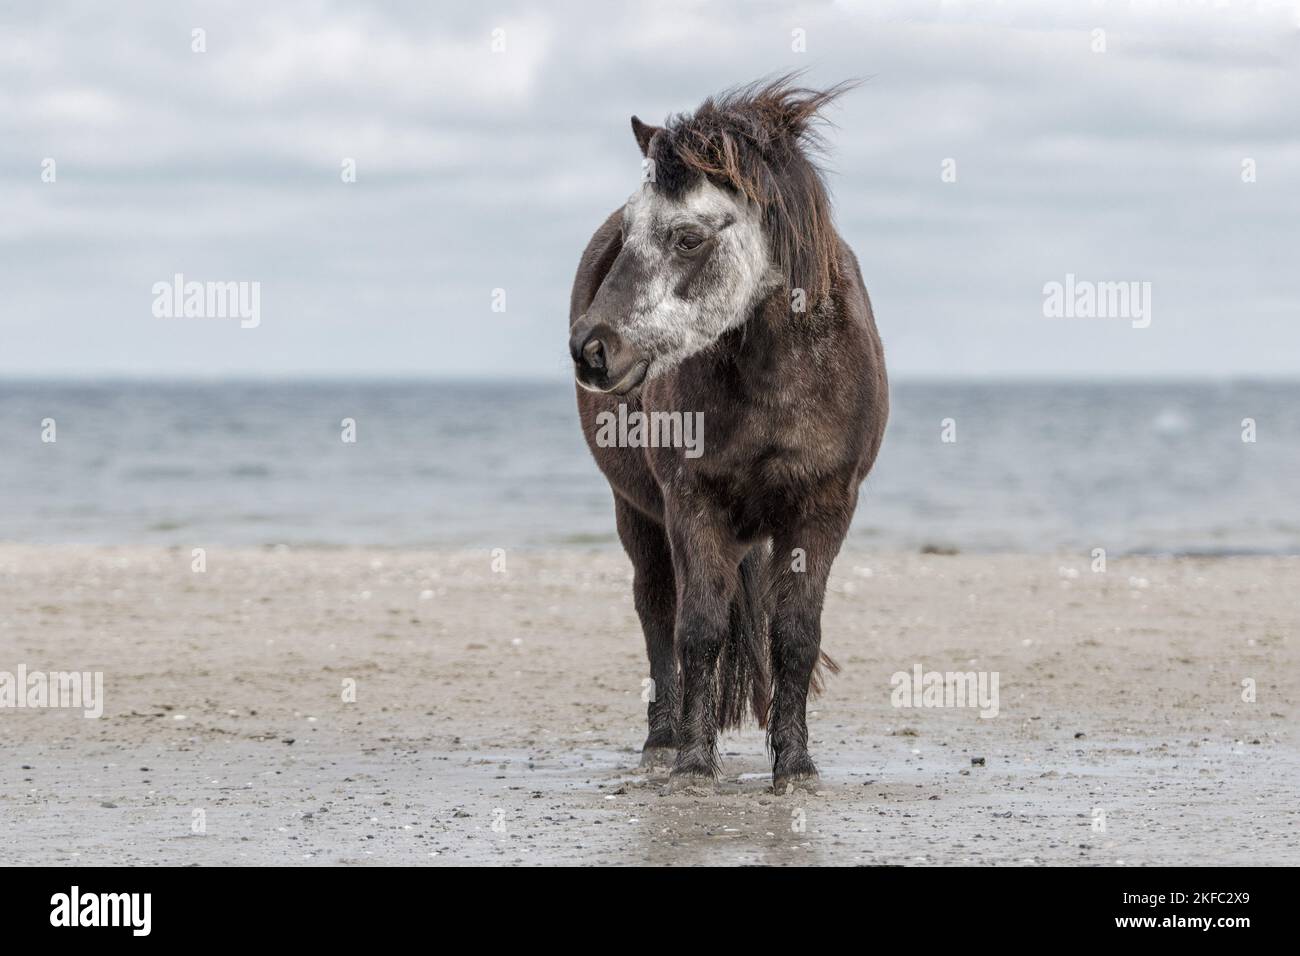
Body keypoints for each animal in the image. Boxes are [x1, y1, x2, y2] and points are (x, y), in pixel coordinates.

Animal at [567, 76, 888, 792]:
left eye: (688, 238)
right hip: (637, 513)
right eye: (628, 233)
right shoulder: (692, 503)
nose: (590, 350)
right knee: (657, 609)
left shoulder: (824, 508)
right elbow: (699, 630)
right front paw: (693, 762)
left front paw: (794, 767)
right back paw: (664, 740)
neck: (775, 378)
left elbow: (794, 634)